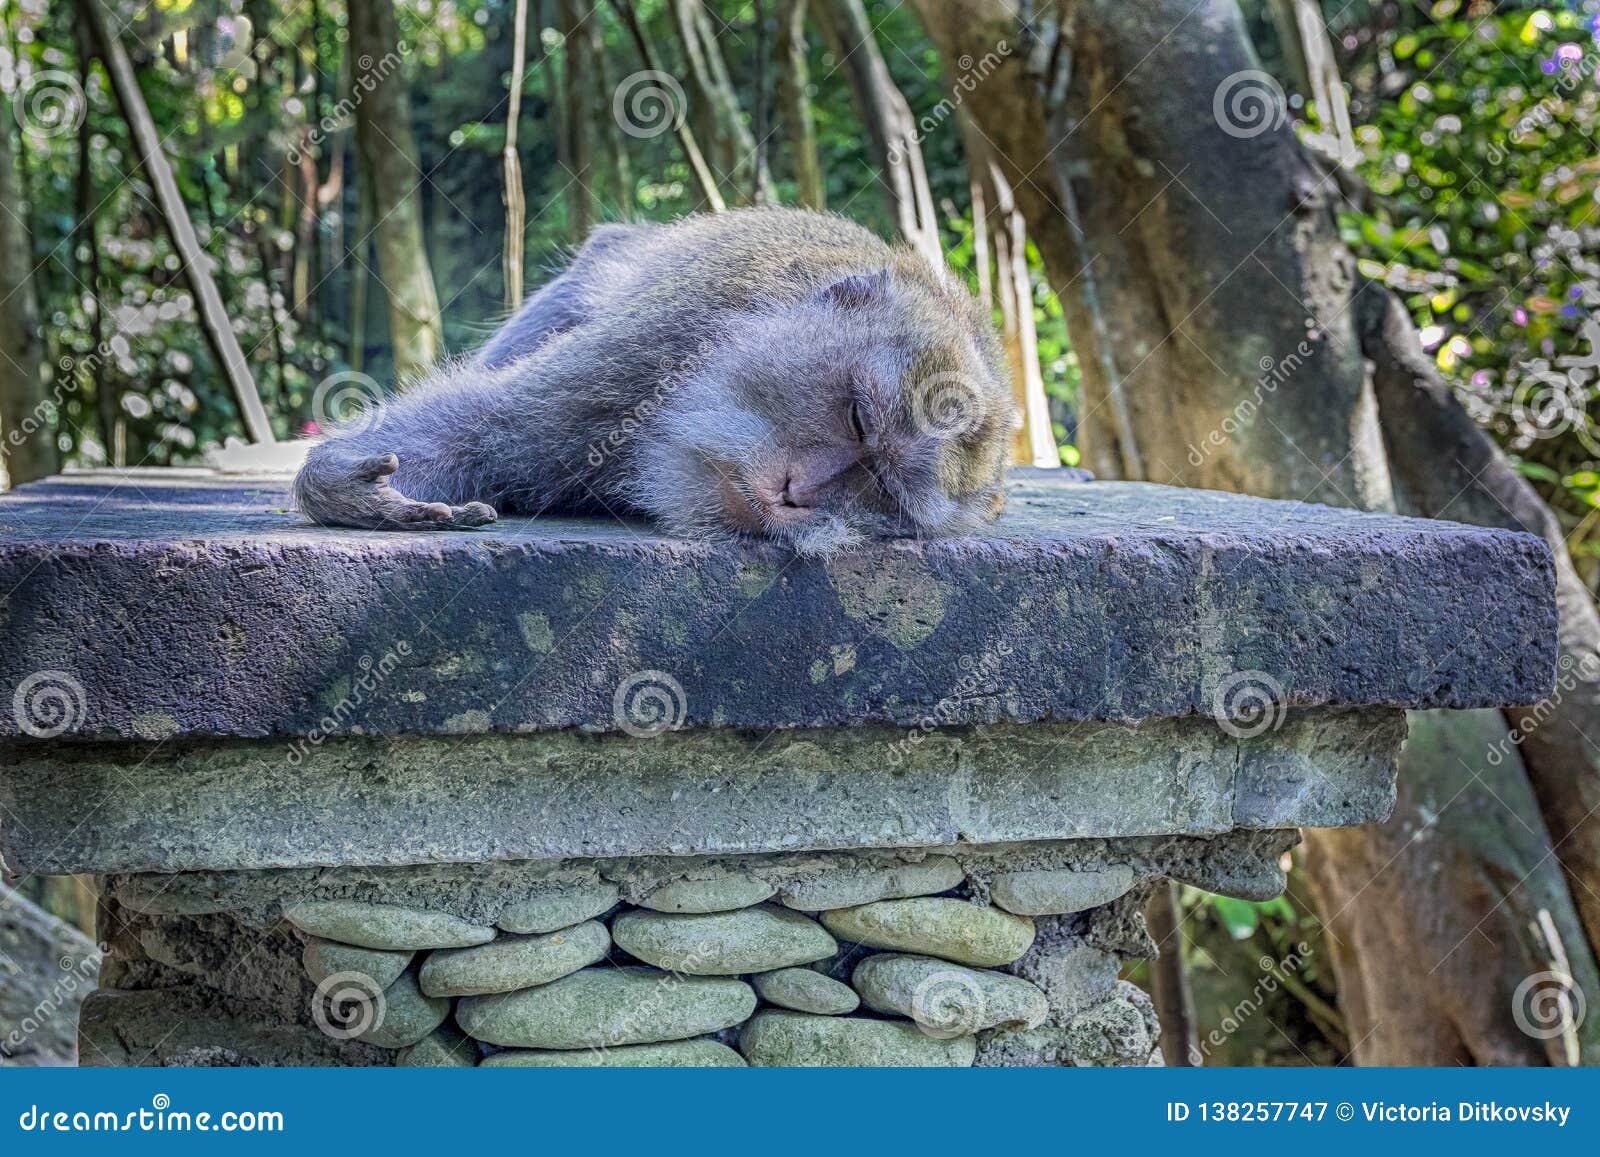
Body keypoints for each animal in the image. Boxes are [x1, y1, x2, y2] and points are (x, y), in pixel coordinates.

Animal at [293, 207, 1020, 555]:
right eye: (857, 417)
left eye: (882, 495)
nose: (796, 495)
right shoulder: (654, 348)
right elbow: (486, 423)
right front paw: (346, 488)